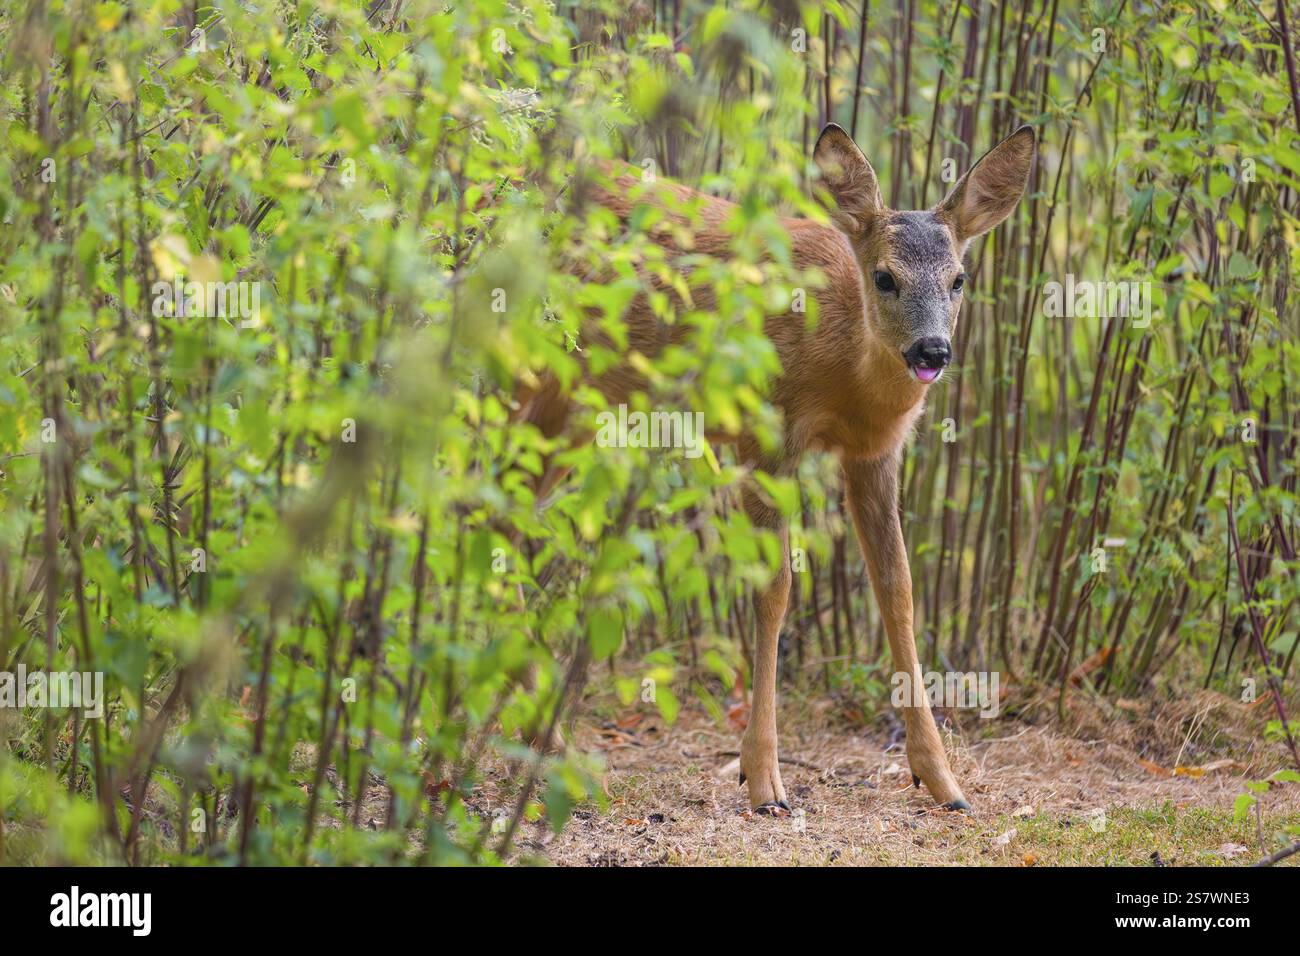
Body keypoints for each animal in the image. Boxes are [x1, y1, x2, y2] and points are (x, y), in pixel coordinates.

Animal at [512, 122, 1035, 812]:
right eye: (885, 277)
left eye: (959, 278)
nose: (932, 350)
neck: (842, 367)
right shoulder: (765, 433)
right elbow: (775, 589)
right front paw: (762, 780)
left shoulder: (877, 454)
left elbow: (897, 590)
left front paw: (943, 782)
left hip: (565, 405)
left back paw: (531, 731)